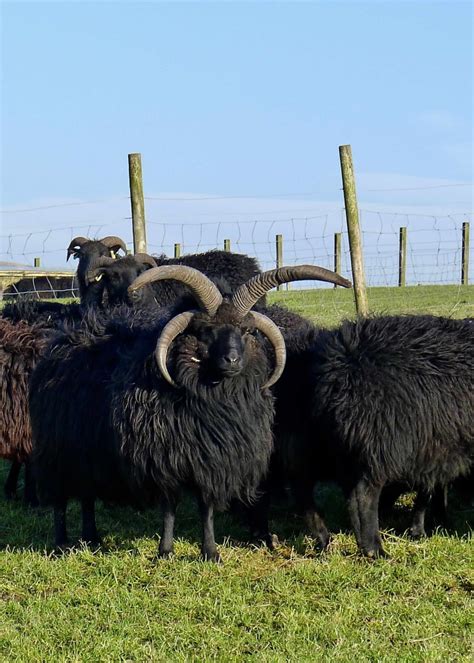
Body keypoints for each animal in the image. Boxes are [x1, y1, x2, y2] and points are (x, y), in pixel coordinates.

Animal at [29, 264, 350, 560]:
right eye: (206, 331)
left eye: (246, 331)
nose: (233, 359)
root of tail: (61, 340)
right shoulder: (164, 457)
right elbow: (170, 508)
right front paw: (165, 551)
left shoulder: (210, 459)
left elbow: (206, 509)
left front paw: (210, 552)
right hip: (58, 449)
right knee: (61, 499)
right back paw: (61, 544)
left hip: (86, 453)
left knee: (86, 496)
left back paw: (92, 539)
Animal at [253, 312, 473, 557]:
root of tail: (337, 363)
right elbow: (428, 488)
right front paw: (422, 529)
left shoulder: (436, 444)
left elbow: (430, 487)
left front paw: (427, 525)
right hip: (380, 439)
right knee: (362, 495)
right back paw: (374, 549)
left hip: (319, 444)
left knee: (305, 489)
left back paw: (325, 540)